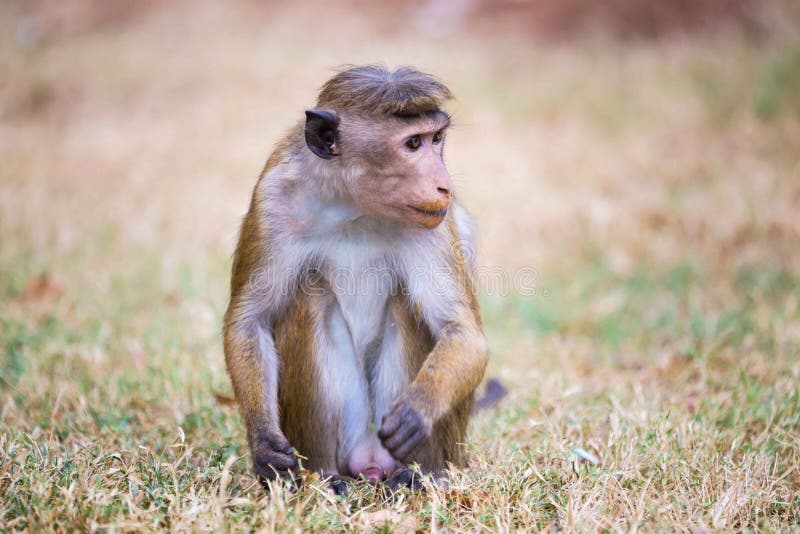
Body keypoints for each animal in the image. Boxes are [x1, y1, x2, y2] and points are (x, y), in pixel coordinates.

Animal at [223, 65, 490, 493]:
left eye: (436, 139)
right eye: (413, 143)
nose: (443, 183)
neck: (355, 205)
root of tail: (369, 462)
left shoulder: (436, 219)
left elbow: (462, 332)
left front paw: (419, 408)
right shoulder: (272, 198)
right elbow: (250, 320)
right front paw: (263, 444)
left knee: (408, 304)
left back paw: (419, 475)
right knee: (310, 293)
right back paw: (325, 475)